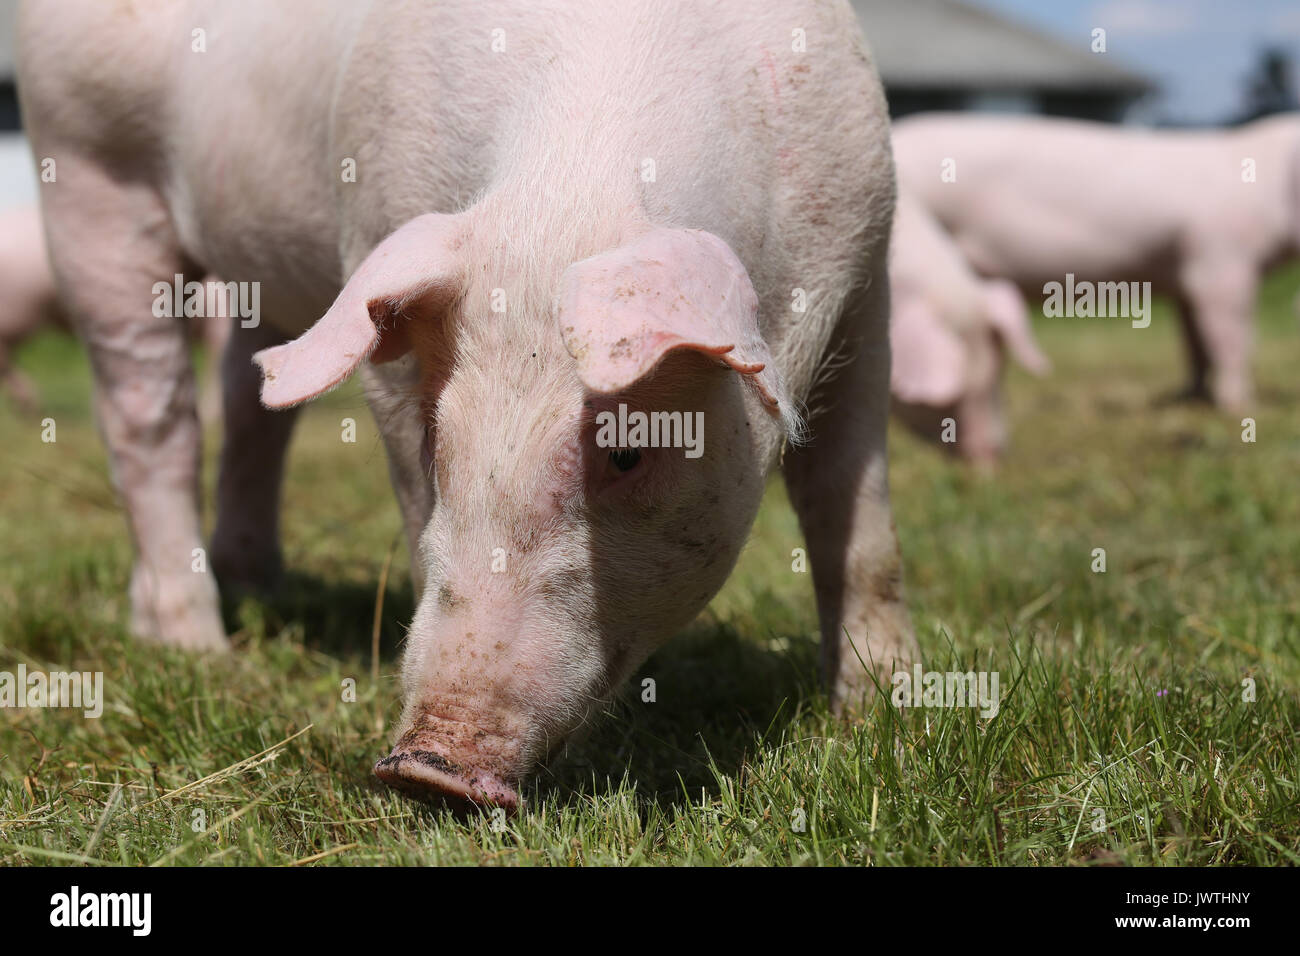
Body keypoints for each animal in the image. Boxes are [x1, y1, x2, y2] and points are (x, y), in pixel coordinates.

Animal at [19, 0, 917, 810]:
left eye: (628, 451)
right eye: (435, 438)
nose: (429, 766)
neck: (567, 191)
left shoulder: (867, 265)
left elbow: (855, 514)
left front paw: (881, 715)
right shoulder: (375, 243)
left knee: (254, 398)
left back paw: (259, 585)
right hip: (88, 168)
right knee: (150, 415)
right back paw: (199, 647)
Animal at [892, 112, 1300, 412]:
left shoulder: (1186, 280)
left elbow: (1195, 344)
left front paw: (1191, 397)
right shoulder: (1222, 265)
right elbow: (1234, 340)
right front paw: (1241, 408)